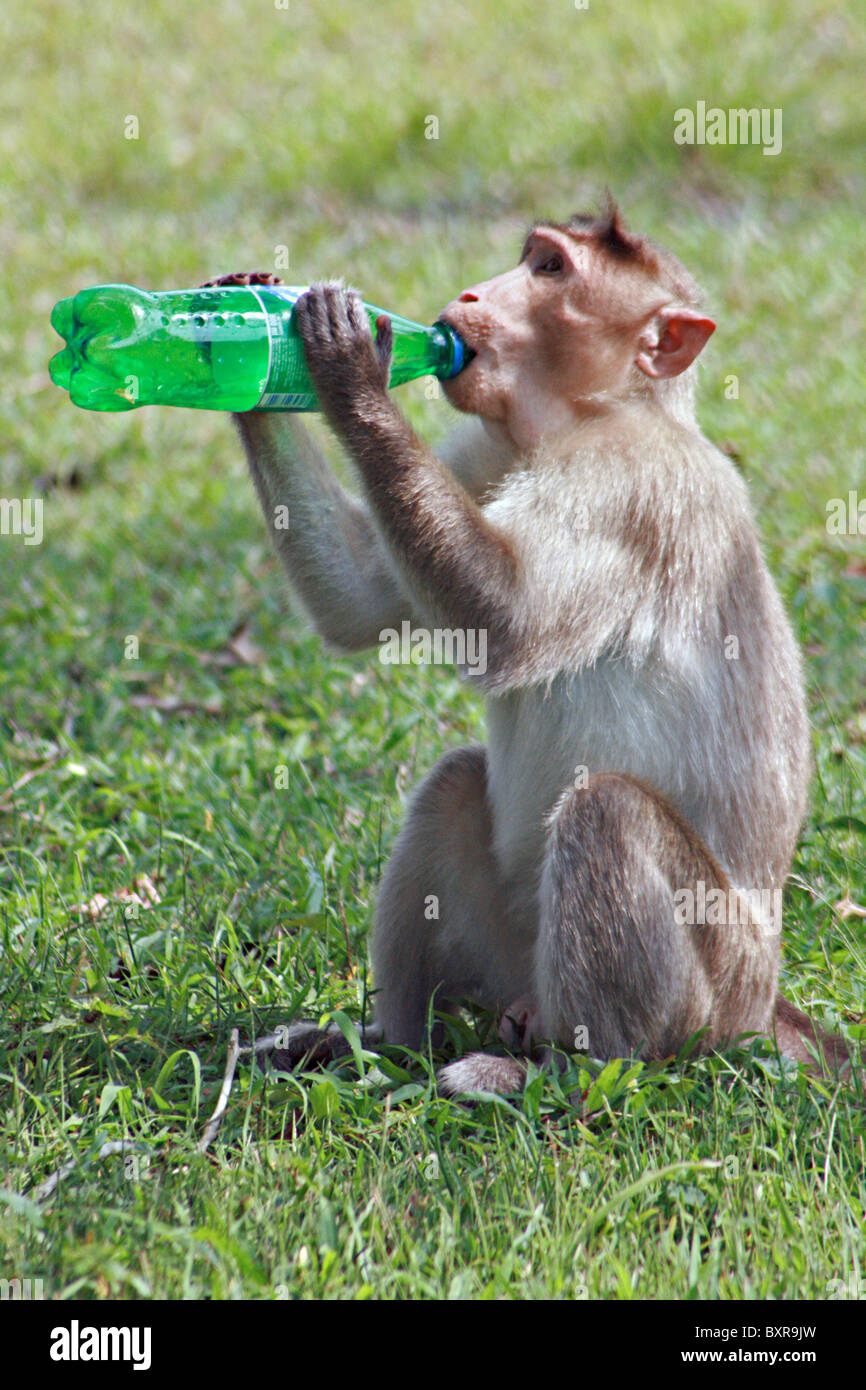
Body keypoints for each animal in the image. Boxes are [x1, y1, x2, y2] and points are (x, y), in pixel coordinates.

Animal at [207, 200, 855, 1096]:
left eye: (551, 270)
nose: (475, 292)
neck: (588, 413)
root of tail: (763, 1005)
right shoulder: (487, 452)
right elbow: (362, 595)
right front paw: (247, 335)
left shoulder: (628, 480)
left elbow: (505, 618)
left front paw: (345, 367)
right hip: (513, 954)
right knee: (453, 783)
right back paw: (390, 1045)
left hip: (709, 994)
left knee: (606, 810)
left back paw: (567, 1075)